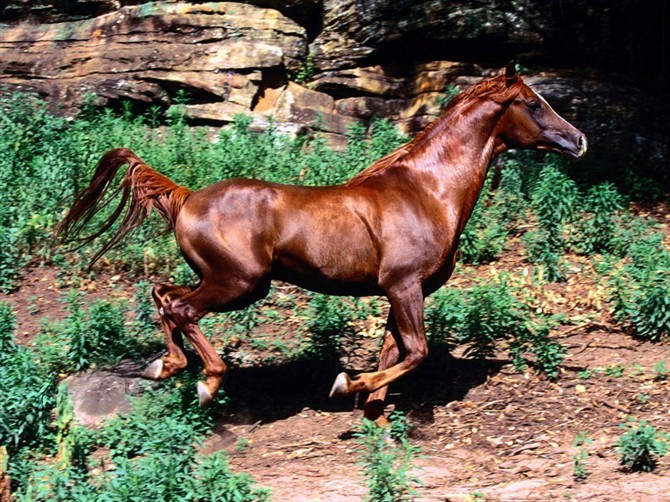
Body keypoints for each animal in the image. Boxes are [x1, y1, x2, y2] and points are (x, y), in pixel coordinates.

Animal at [57, 63, 587, 422]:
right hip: (240, 284)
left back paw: (163, 367)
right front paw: (345, 385)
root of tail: (186, 197)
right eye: (533, 103)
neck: (428, 192)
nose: (579, 139)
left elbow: (393, 351)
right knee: (181, 308)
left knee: (164, 296)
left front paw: (371, 409)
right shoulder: (404, 285)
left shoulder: (399, 292)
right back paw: (207, 383)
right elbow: (416, 352)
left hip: (220, 279)